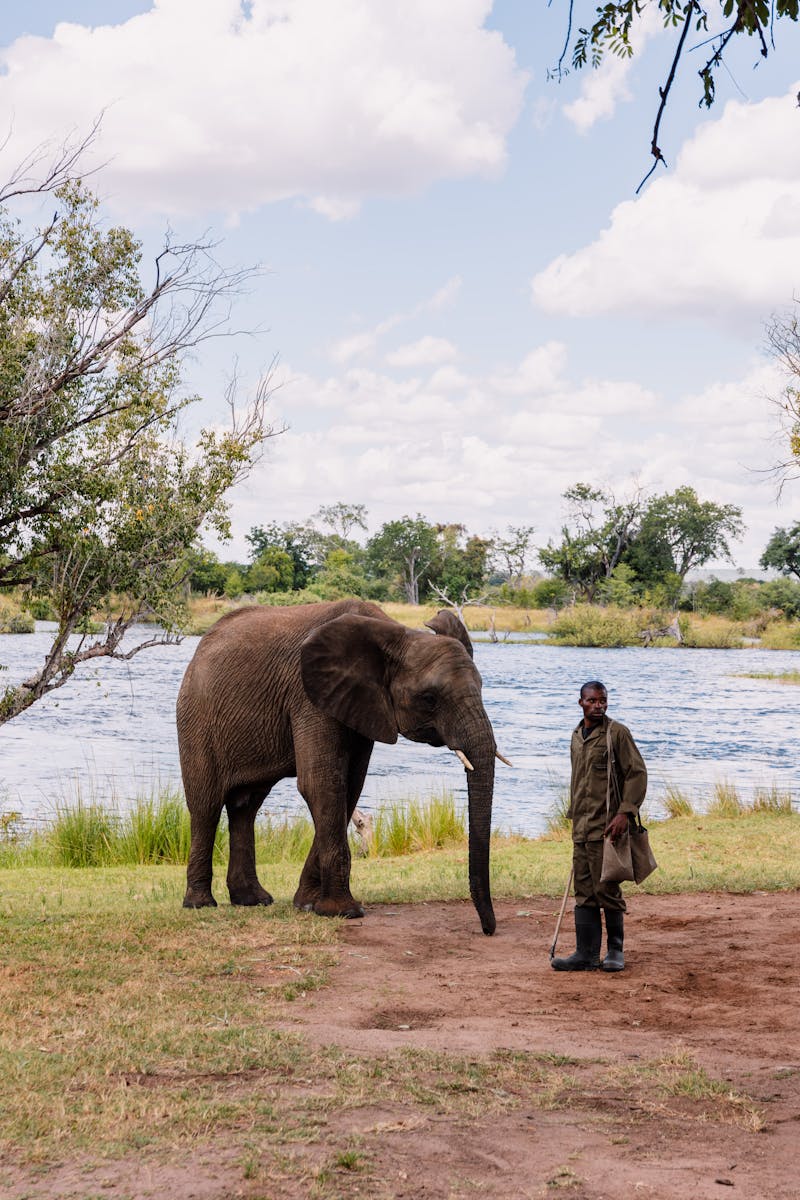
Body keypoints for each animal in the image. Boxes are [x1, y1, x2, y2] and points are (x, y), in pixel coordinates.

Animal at [176, 598, 506, 934]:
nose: (487, 930)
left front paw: (307, 905)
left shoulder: (361, 705)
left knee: (246, 806)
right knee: (206, 805)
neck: (397, 633)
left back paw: (253, 900)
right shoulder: (308, 696)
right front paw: (345, 912)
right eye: (429, 698)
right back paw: (200, 904)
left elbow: (350, 786)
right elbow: (321, 784)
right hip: (196, 717)